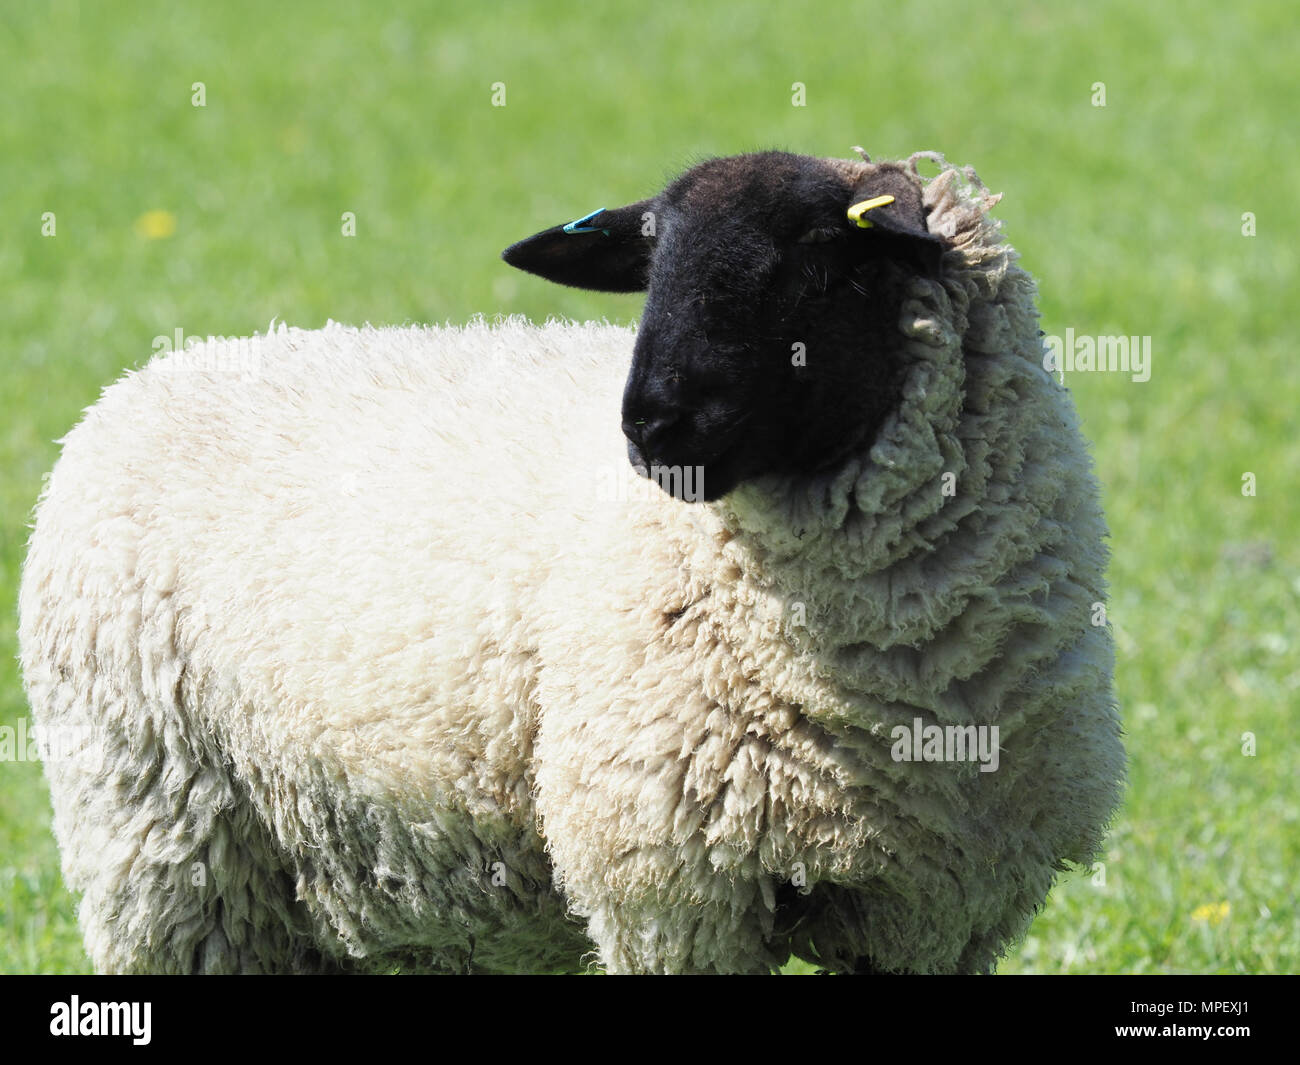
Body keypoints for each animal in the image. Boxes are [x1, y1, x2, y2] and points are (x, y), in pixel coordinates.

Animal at [18, 149, 1124, 974]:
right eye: (651, 263)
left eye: (821, 259)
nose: (651, 422)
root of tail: (147, 377)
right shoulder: (670, 884)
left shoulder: (936, 907)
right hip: (163, 843)